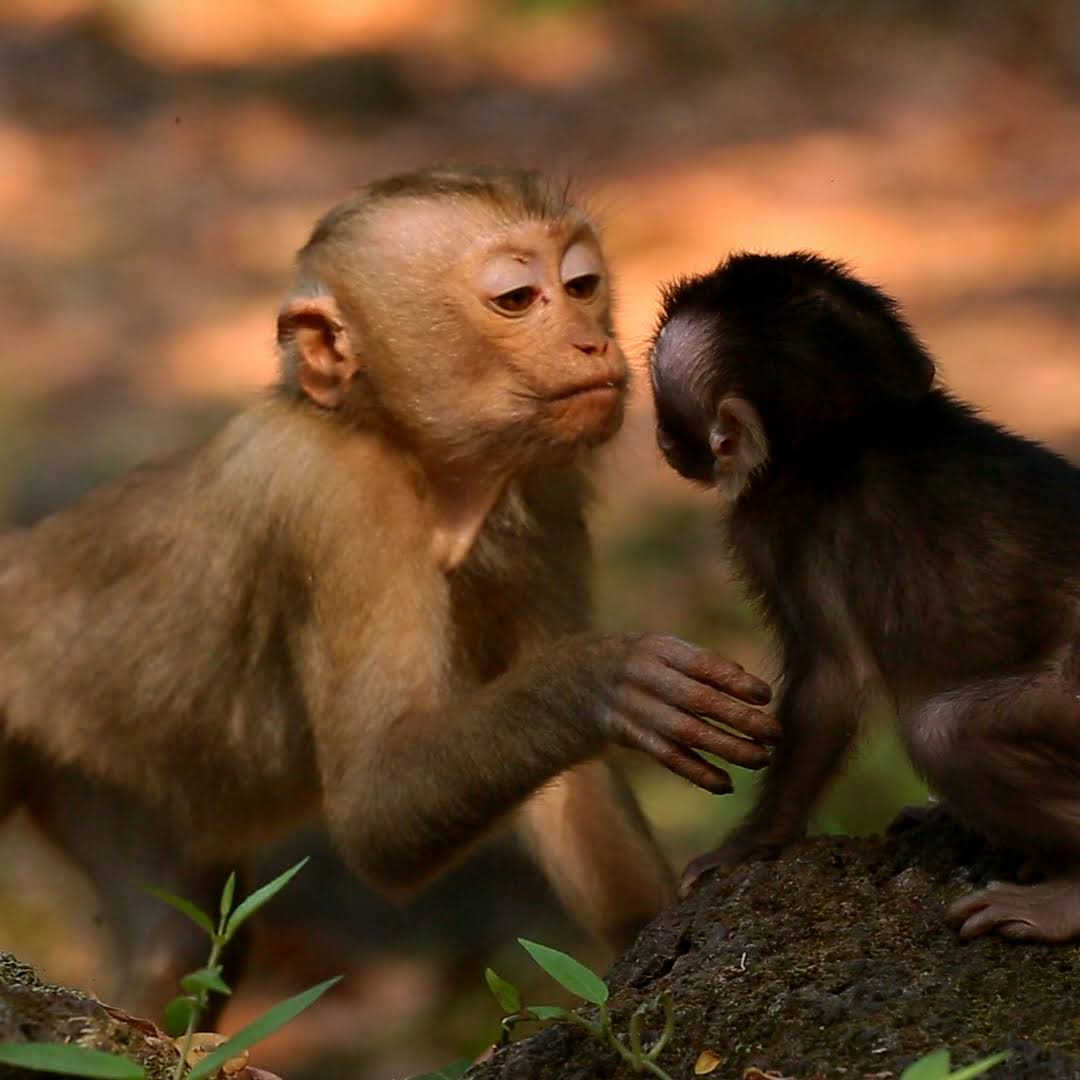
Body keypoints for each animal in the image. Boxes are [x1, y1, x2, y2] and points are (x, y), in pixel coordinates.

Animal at [0, 167, 778, 1018]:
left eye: (582, 285)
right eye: (517, 298)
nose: (594, 340)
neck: (404, 450)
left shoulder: (545, 494)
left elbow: (573, 800)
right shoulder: (342, 505)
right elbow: (372, 813)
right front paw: (604, 678)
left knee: (175, 939)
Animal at [649, 249, 1080, 944]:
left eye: (667, 414)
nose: (660, 439)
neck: (859, 425)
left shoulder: (776, 529)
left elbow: (833, 684)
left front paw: (747, 844)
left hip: (1070, 694)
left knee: (944, 731)